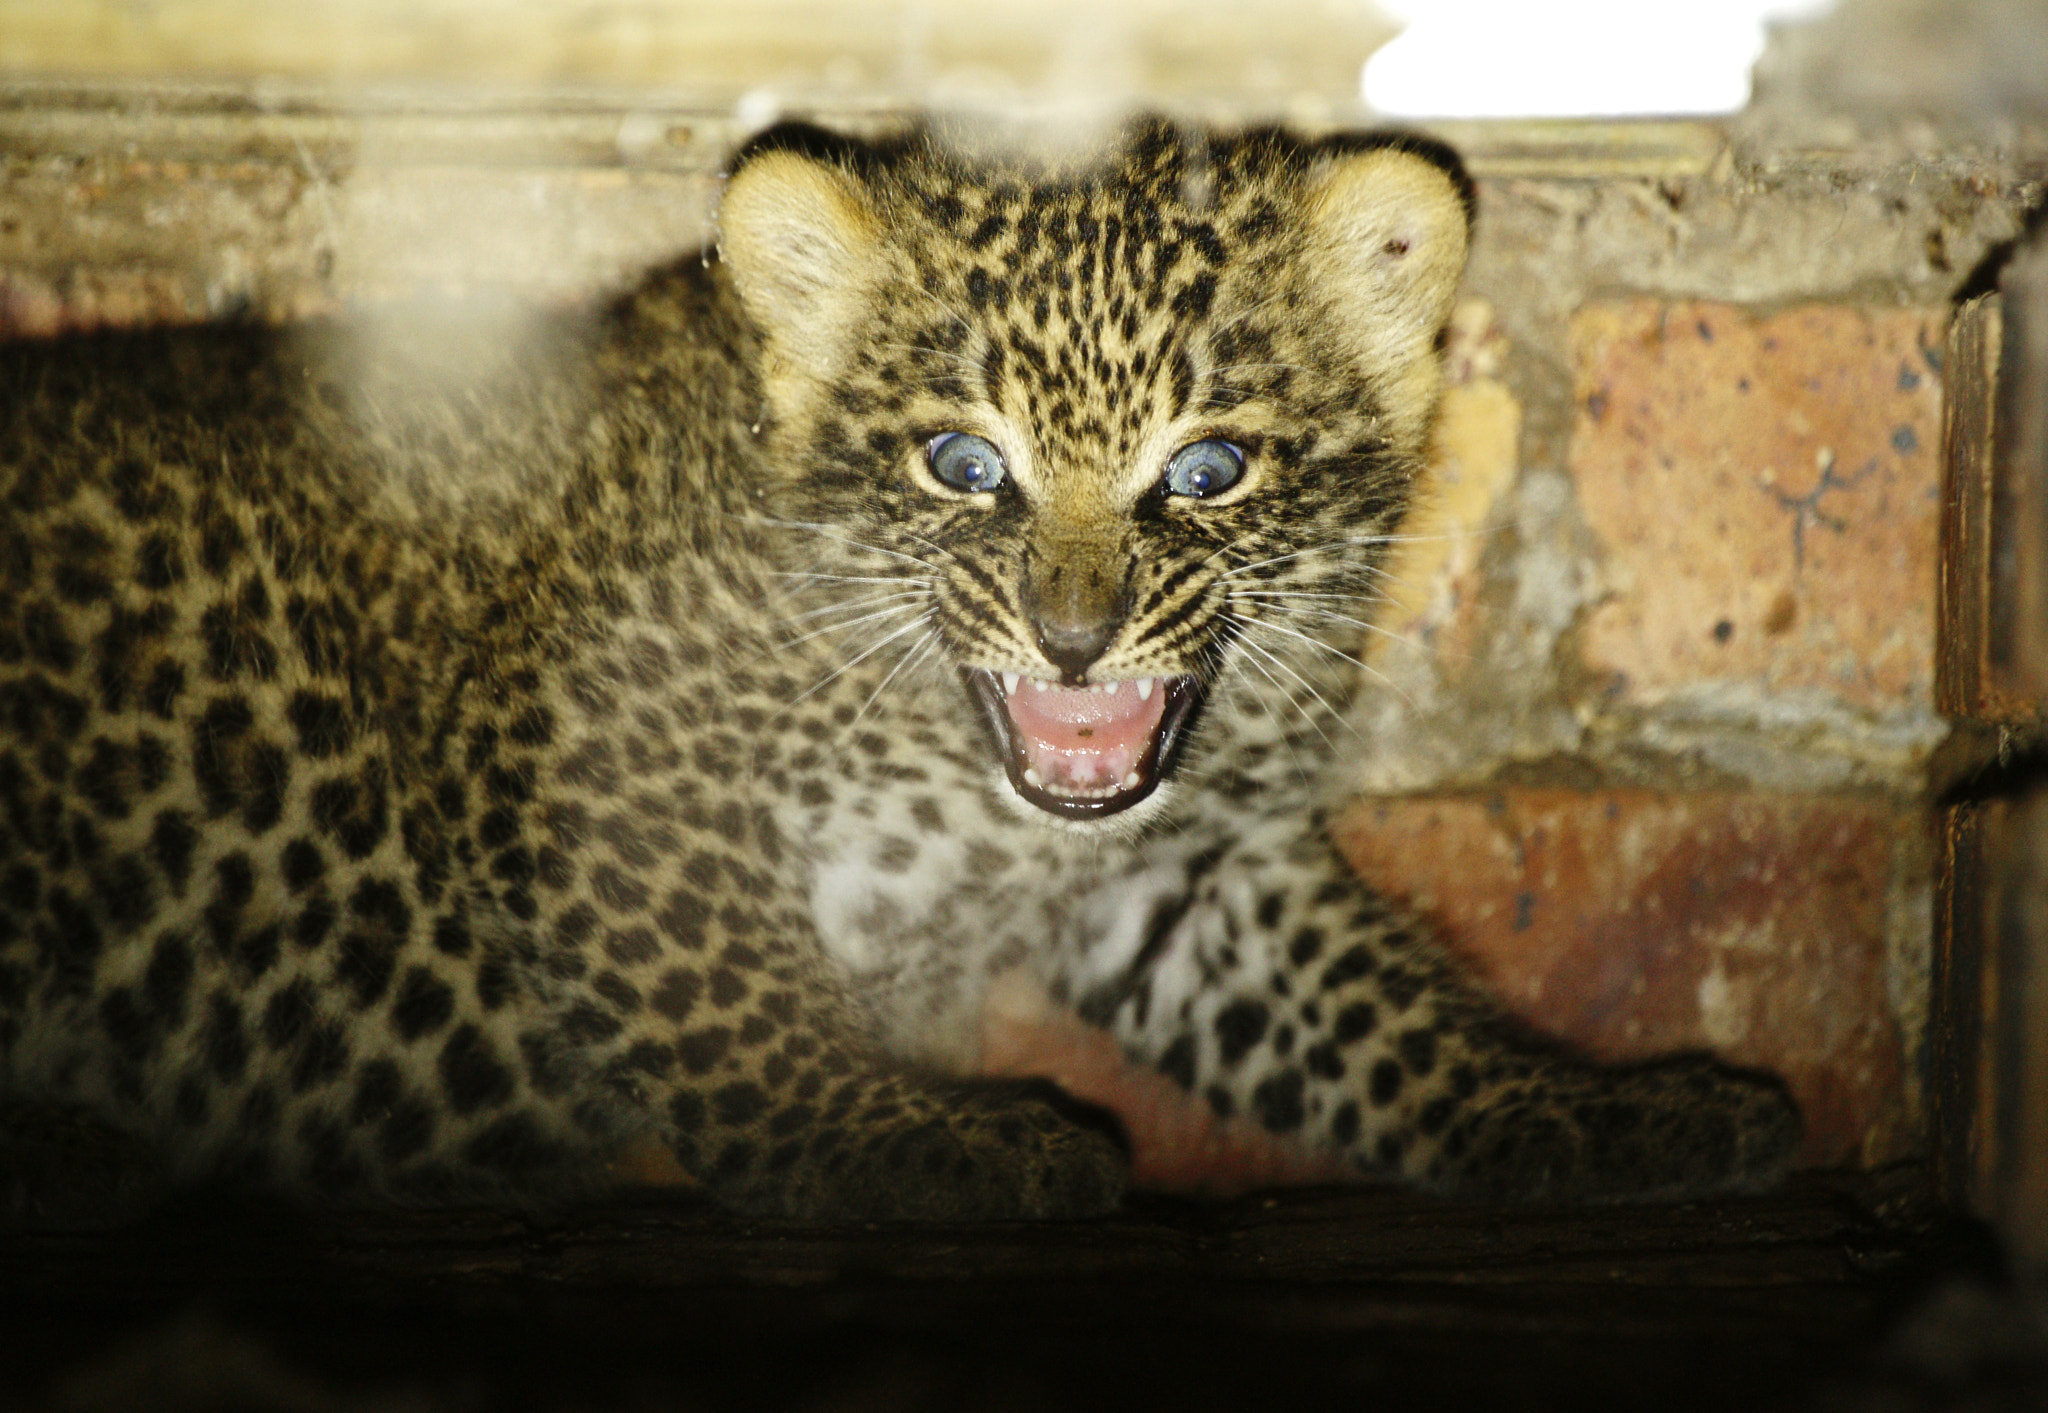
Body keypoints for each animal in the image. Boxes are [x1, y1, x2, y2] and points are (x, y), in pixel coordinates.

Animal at [0, 117, 1799, 1225]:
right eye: (963, 462)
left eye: (1207, 470)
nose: (1073, 636)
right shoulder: (589, 749)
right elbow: (727, 997)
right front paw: (901, 1142)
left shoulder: (1192, 878)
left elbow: (1377, 1018)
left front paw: (1603, 1116)